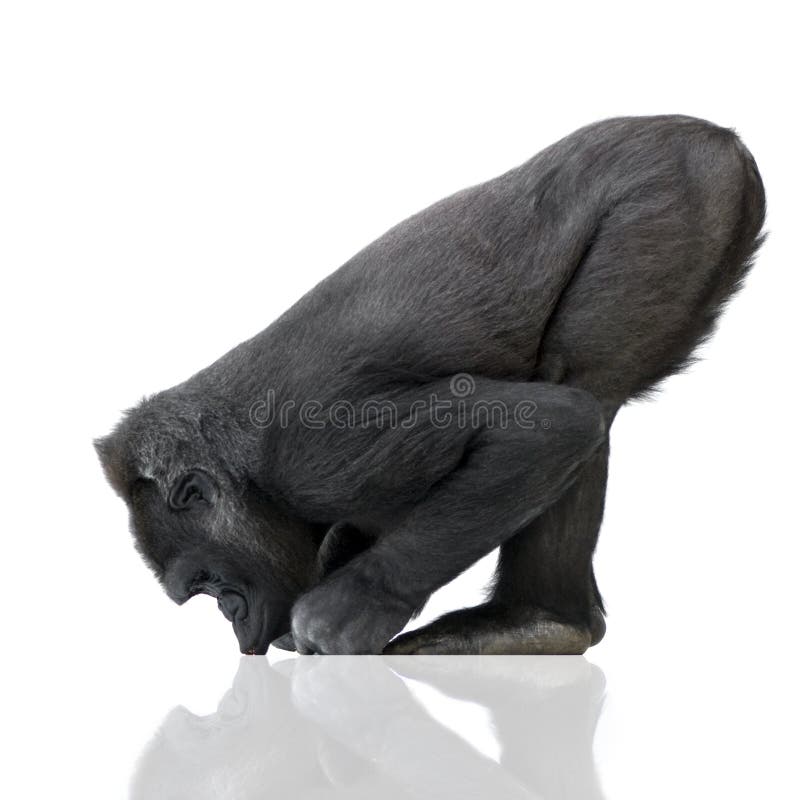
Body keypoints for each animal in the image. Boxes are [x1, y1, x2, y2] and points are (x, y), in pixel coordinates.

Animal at [96, 115, 765, 655]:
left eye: (207, 583)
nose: (233, 621)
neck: (251, 477)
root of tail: (716, 135)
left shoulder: (317, 455)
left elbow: (549, 428)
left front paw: (349, 610)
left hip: (673, 194)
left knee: (586, 389)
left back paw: (541, 620)